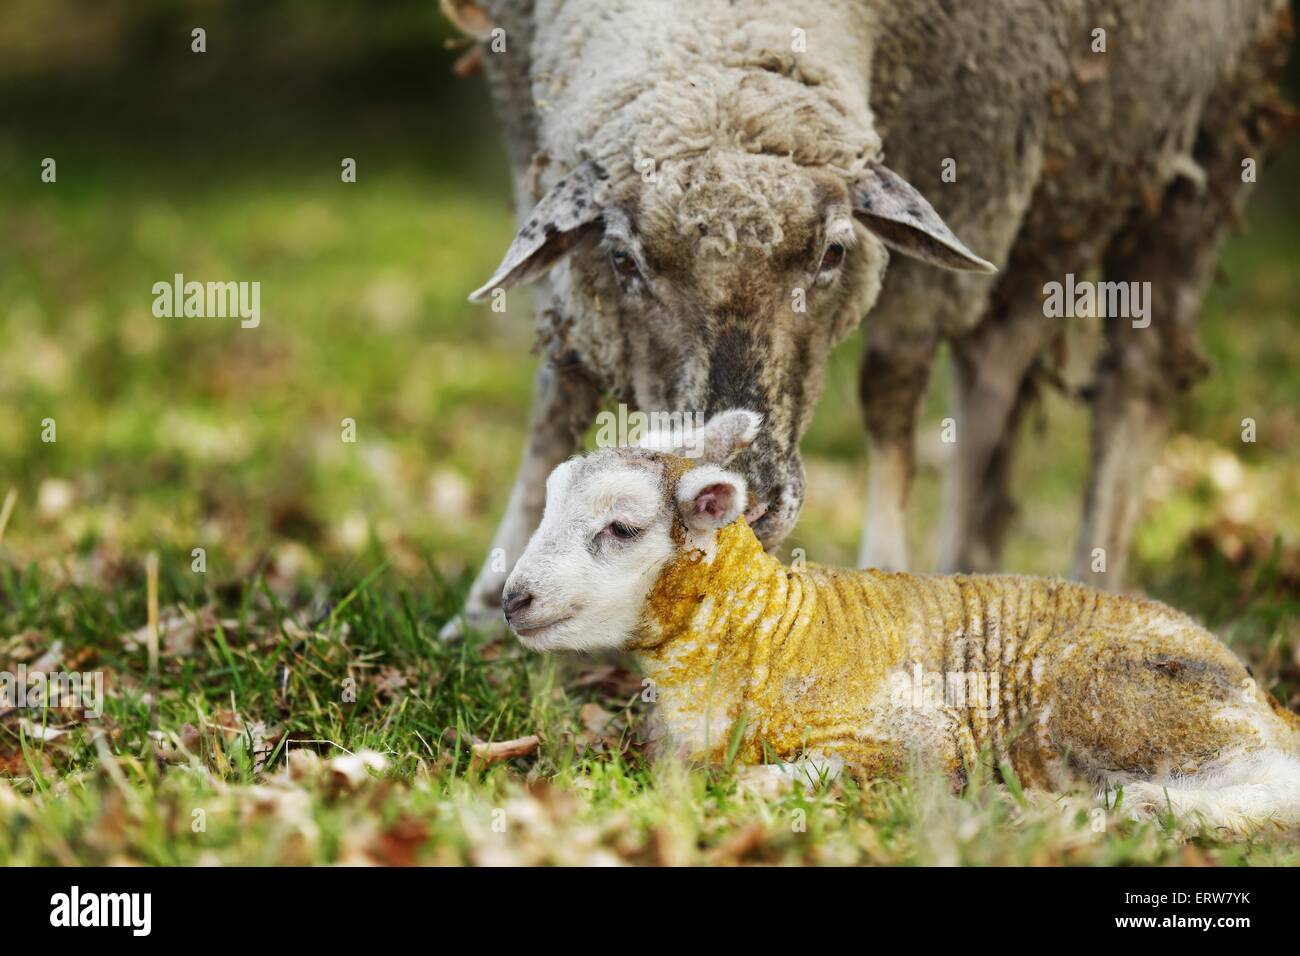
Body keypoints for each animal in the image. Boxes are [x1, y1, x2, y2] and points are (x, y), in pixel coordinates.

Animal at [446, 0, 1294, 636]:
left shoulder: (973, 145)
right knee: (999, 359)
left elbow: (892, 389)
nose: (747, 497)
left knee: (1129, 382)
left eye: (832, 253)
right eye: (624, 261)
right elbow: (559, 390)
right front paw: (490, 598)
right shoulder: (528, 126)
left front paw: (884, 566)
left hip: (1204, 132)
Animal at [503, 410, 1300, 833]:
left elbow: (818, 769)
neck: (764, 630)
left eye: (622, 529)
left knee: (1275, 781)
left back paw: (1120, 807)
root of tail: (1264, 698)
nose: (514, 599)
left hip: (1119, 697)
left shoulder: (918, 731)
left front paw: (758, 787)